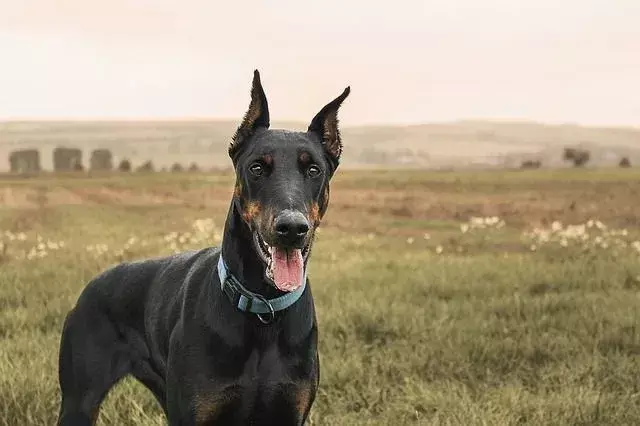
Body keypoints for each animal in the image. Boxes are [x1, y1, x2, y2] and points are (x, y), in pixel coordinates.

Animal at [56, 70, 350, 426]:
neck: (263, 309)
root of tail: (91, 286)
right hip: (79, 401)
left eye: (313, 169)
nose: (291, 228)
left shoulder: (289, 411)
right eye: (257, 167)